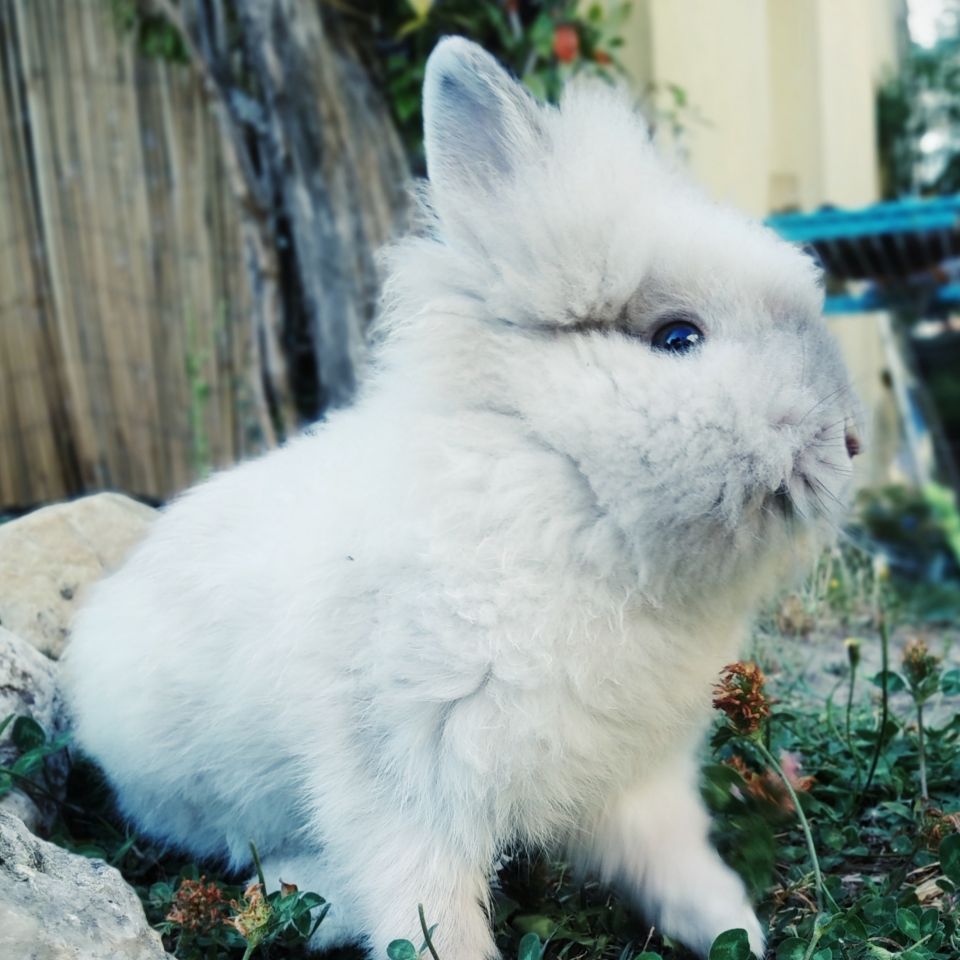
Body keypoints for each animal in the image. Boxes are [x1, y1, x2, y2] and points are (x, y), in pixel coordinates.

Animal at [62, 36, 860, 960]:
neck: (563, 491)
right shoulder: (405, 778)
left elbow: (673, 862)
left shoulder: (638, 779)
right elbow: (428, 906)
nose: (850, 439)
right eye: (677, 338)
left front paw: (735, 931)